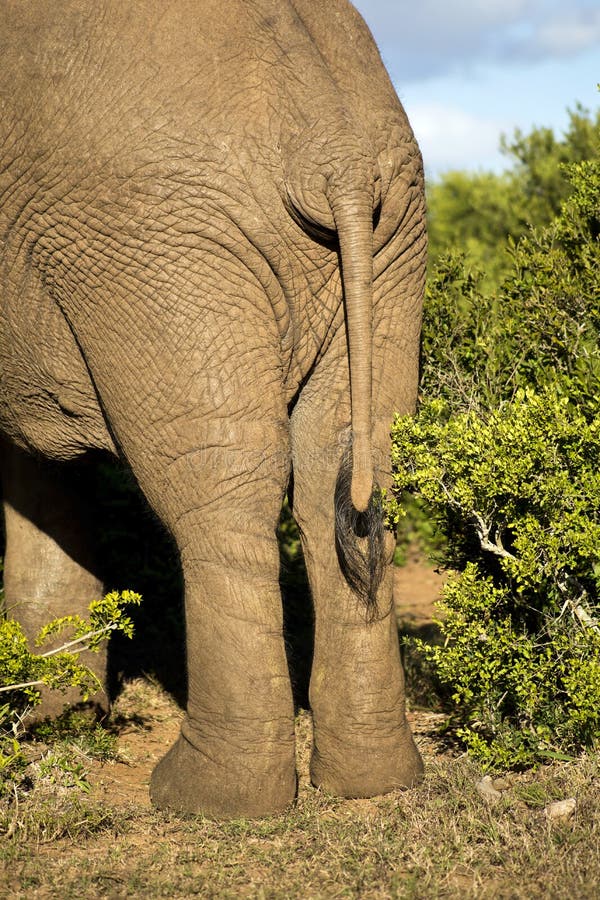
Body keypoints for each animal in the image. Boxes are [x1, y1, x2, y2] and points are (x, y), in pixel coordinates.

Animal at [0, 0, 426, 817]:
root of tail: (336, 153)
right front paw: (53, 724)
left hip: (156, 240)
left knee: (221, 493)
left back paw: (204, 798)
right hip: (388, 234)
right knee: (349, 473)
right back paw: (376, 782)